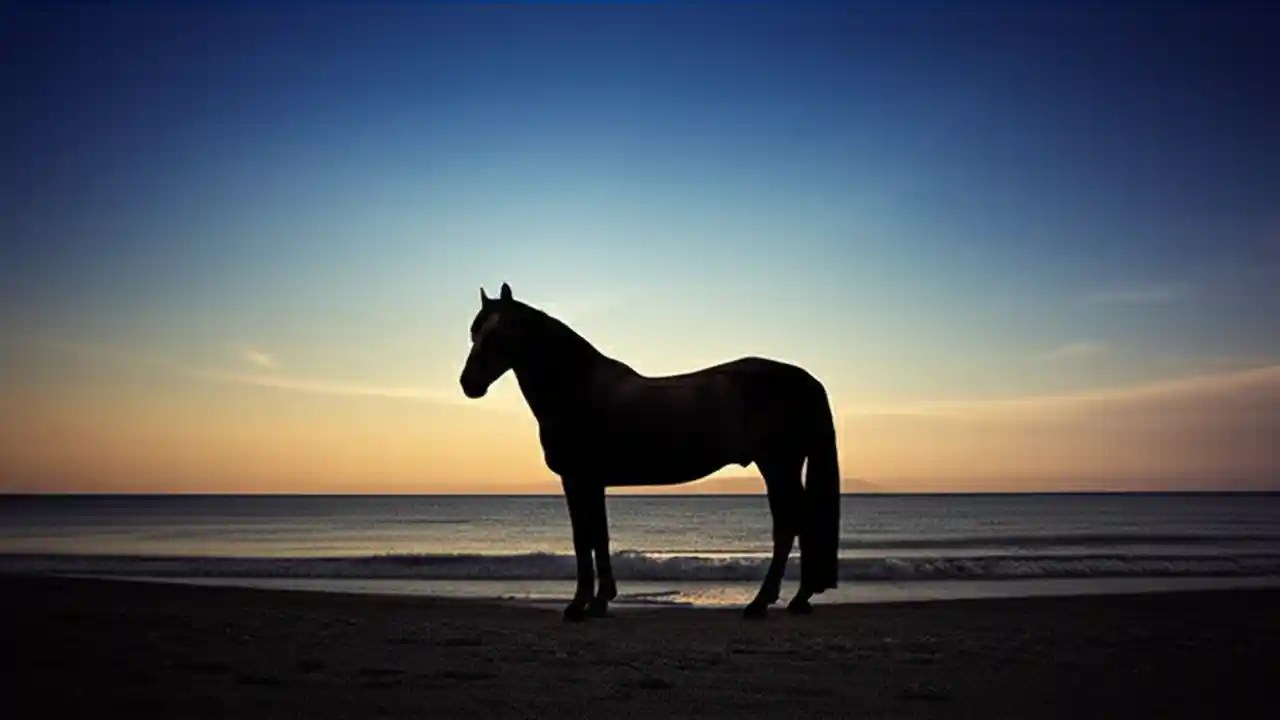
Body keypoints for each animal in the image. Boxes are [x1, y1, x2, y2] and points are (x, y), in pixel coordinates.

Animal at [460, 283, 841, 620]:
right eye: (474, 332)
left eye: (500, 333)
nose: (468, 384)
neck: (577, 388)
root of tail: (806, 380)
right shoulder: (593, 482)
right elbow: (599, 535)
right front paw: (600, 600)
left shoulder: (577, 479)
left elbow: (583, 538)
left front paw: (578, 605)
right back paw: (797, 599)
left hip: (778, 465)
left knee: (788, 525)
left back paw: (762, 602)